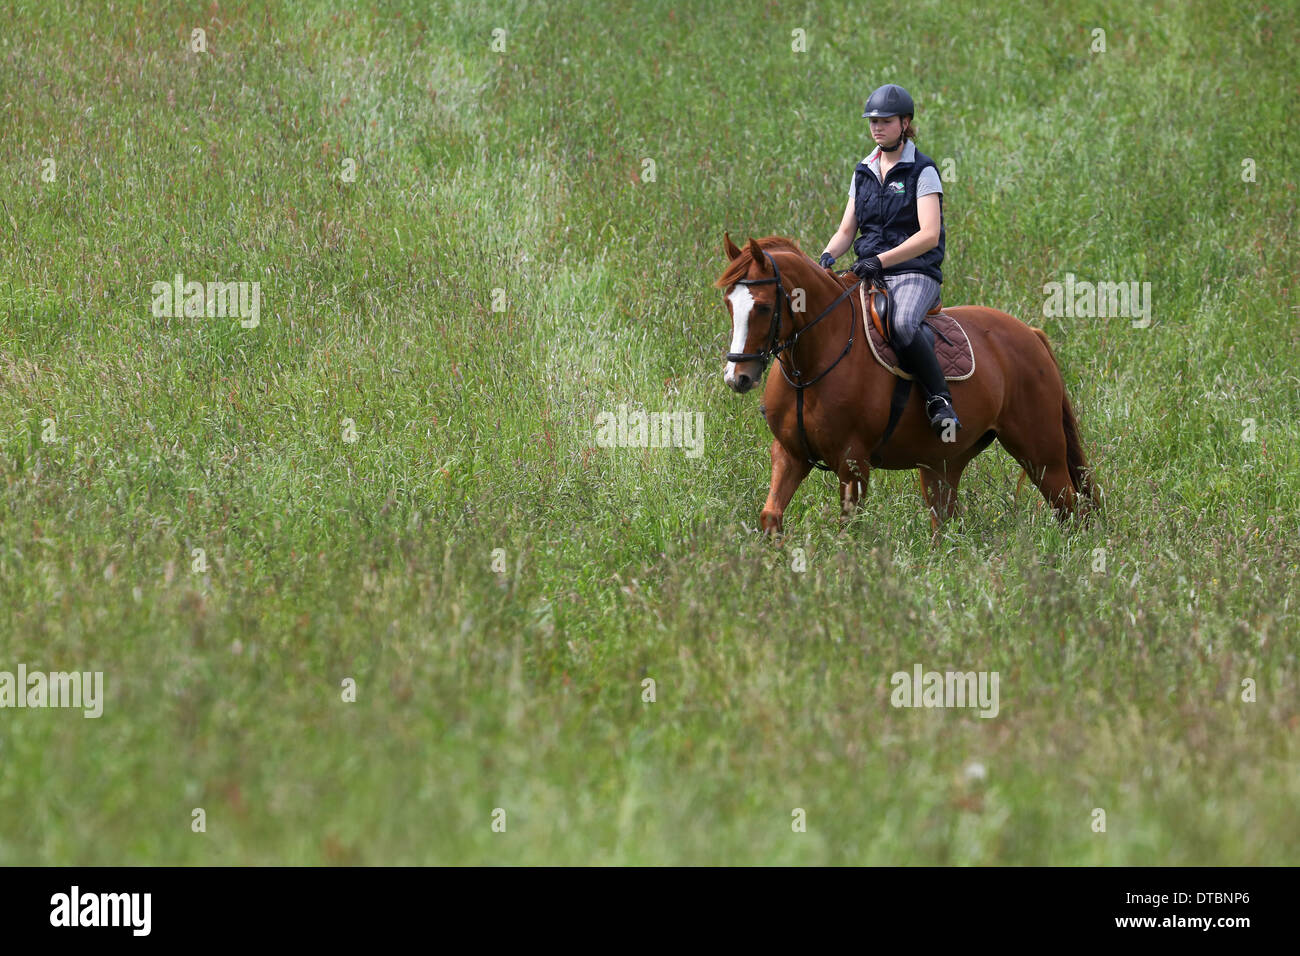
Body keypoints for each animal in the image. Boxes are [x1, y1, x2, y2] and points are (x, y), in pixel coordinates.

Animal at [717, 233, 1099, 534]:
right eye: (729, 304)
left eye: (763, 307)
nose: (739, 377)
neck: (810, 369)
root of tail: (1031, 335)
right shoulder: (790, 452)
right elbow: (770, 515)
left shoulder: (853, 462)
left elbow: (847, 527)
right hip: (942, 464)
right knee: (946, 523)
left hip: (1040, 453)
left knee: (1072, 508)